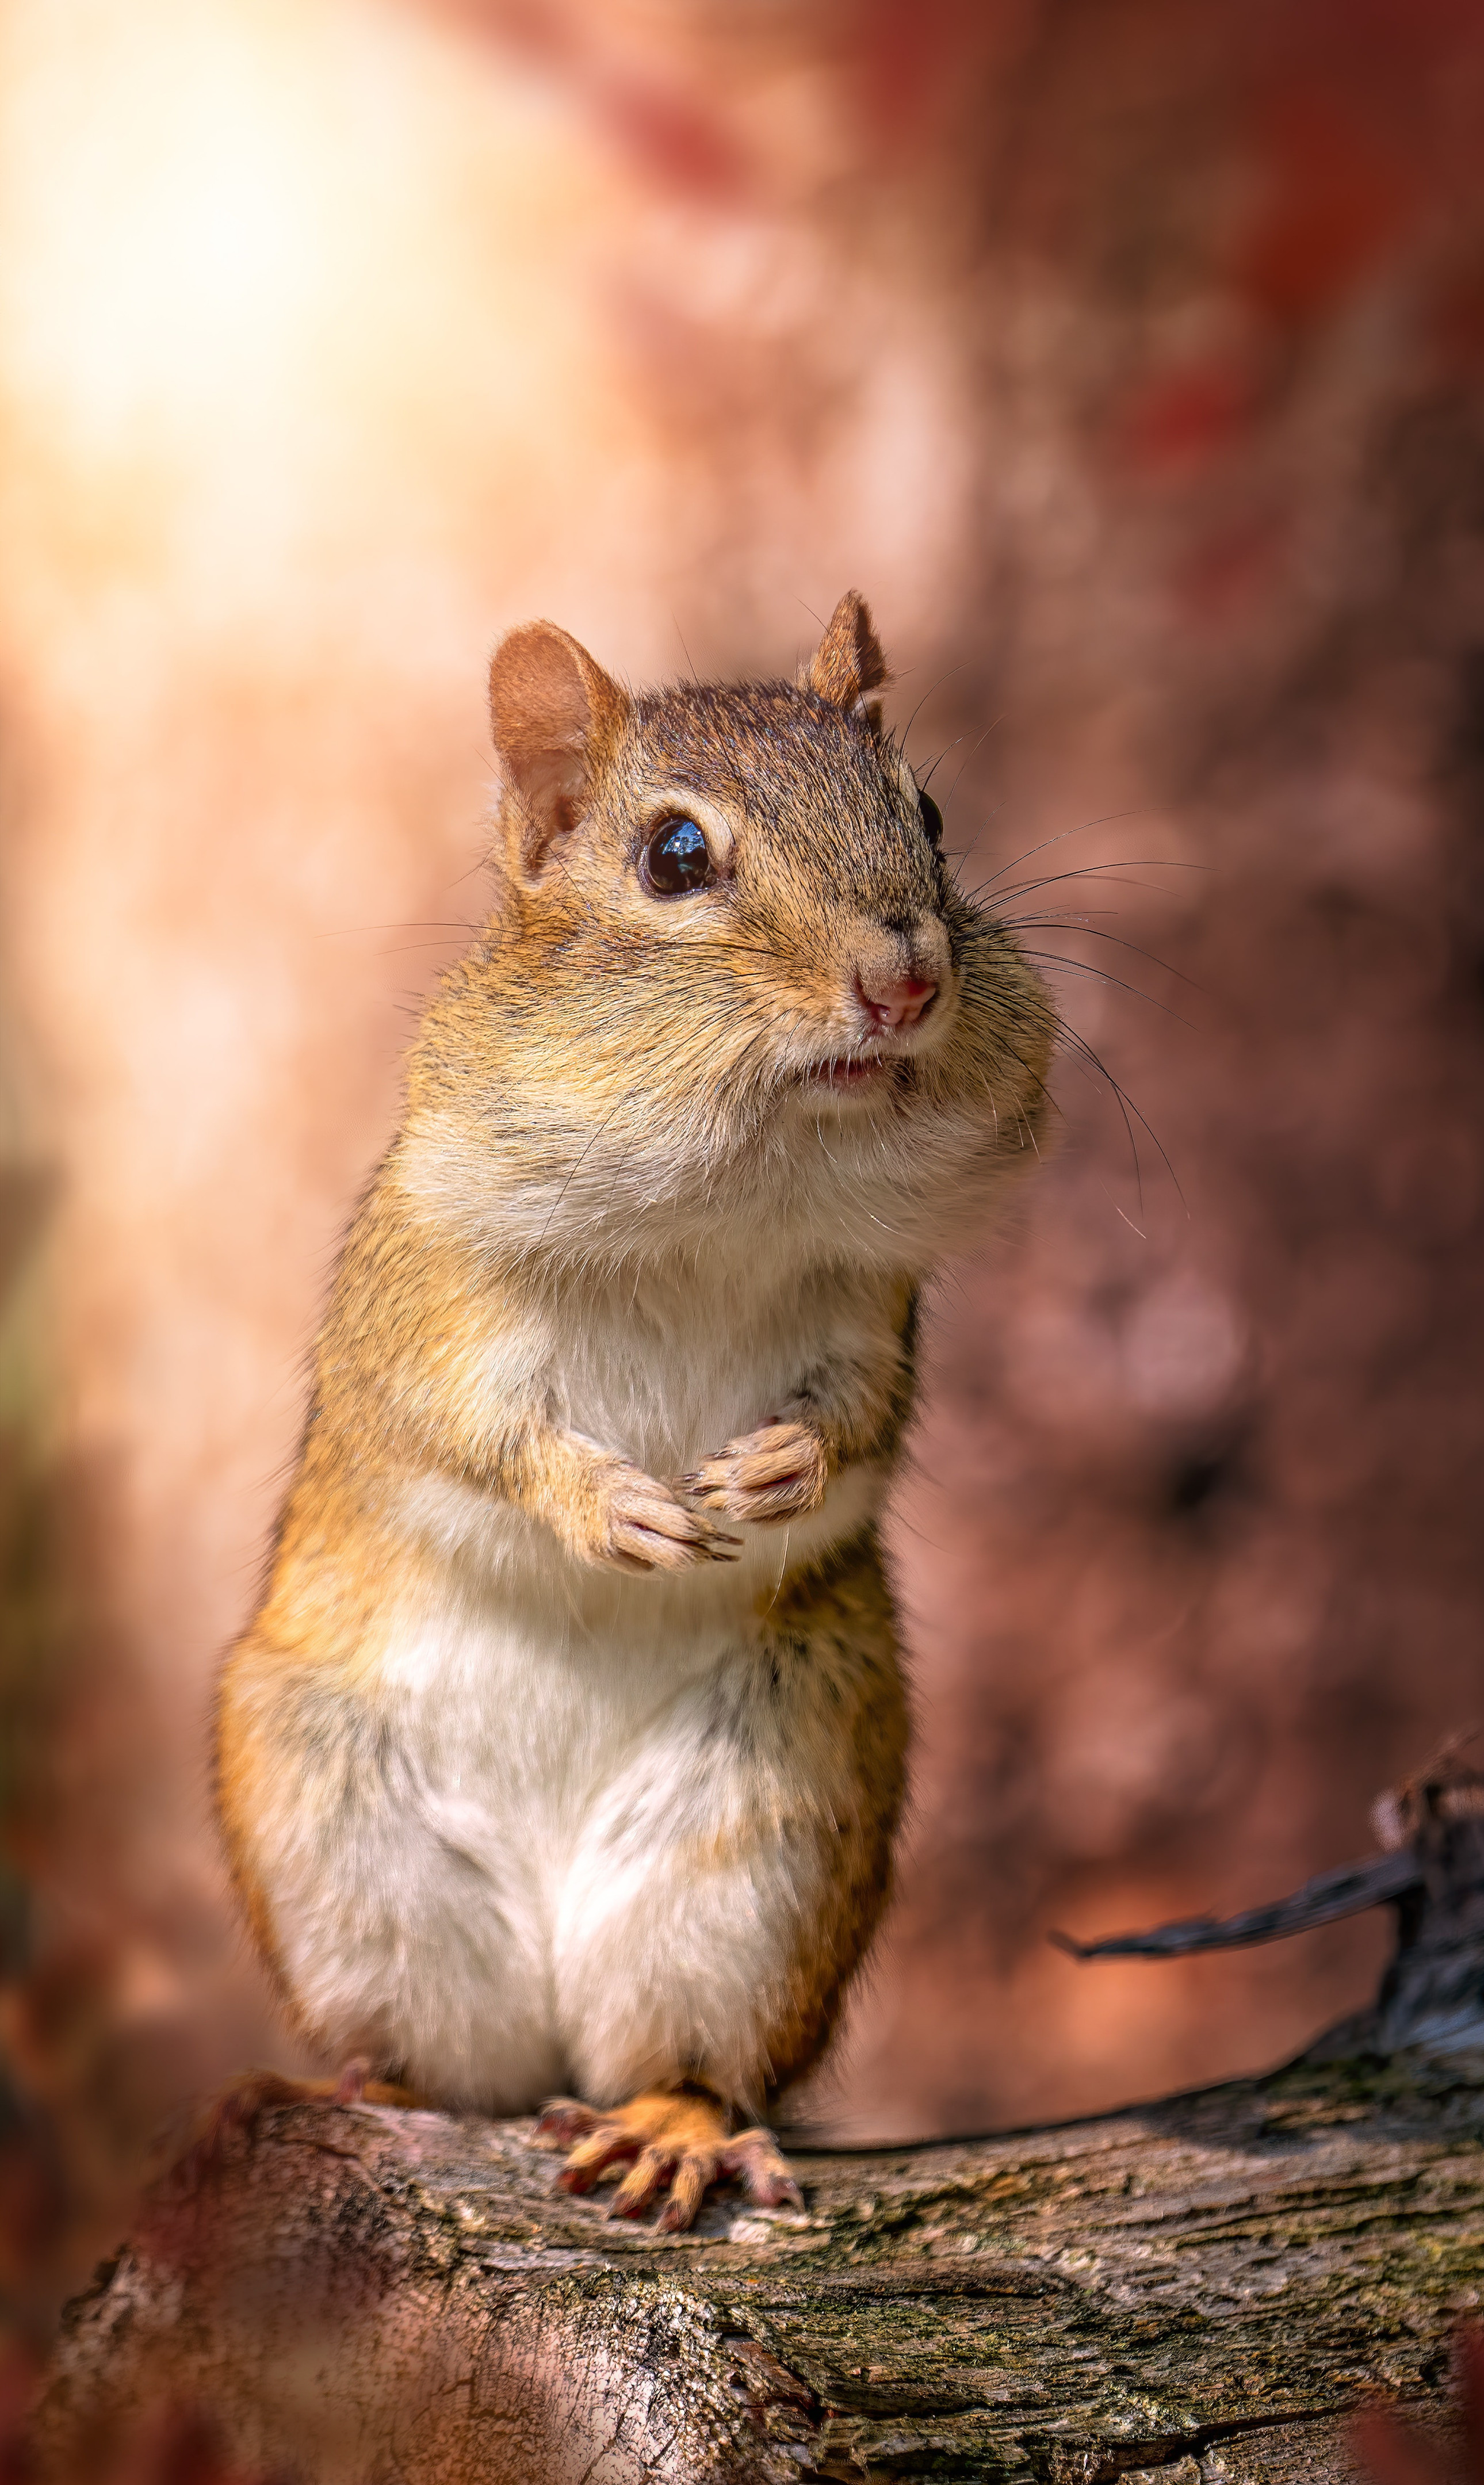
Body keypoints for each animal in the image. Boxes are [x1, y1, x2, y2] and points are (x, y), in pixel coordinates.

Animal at [212, 591, 1054, 2230]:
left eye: (927, 812)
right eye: (674, 855)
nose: (906, 981)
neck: (734, 1195)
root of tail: (551, 2029)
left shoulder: (868, 1309)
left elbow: (865, 1420)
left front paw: (778, 1473)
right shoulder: (437, 1292)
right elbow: (464, 1431)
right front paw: (610, 1506)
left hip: (769, 1840)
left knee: (693, 2057)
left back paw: (665, 2125)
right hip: (325, 1823)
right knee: (430, 2061)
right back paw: (345, 2089)